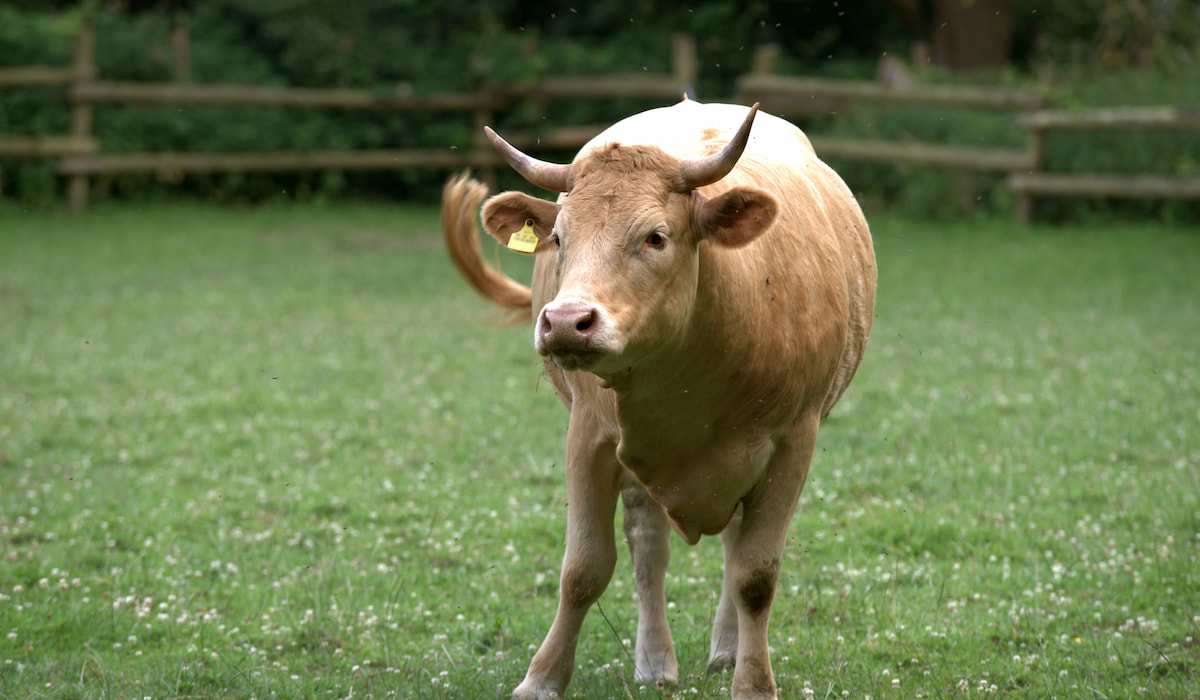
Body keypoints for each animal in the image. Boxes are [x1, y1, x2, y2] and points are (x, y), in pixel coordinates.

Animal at [441, 99, 876, 700]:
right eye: (559, 237)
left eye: (655, 237)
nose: (565, 322)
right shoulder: (589, 436)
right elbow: (584, 568)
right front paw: (543, 677)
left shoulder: (793, 443)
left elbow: (755, 575)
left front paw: (753, 683)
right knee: (649, 547)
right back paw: (655, 660)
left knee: (735, 547)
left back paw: (726, 650)